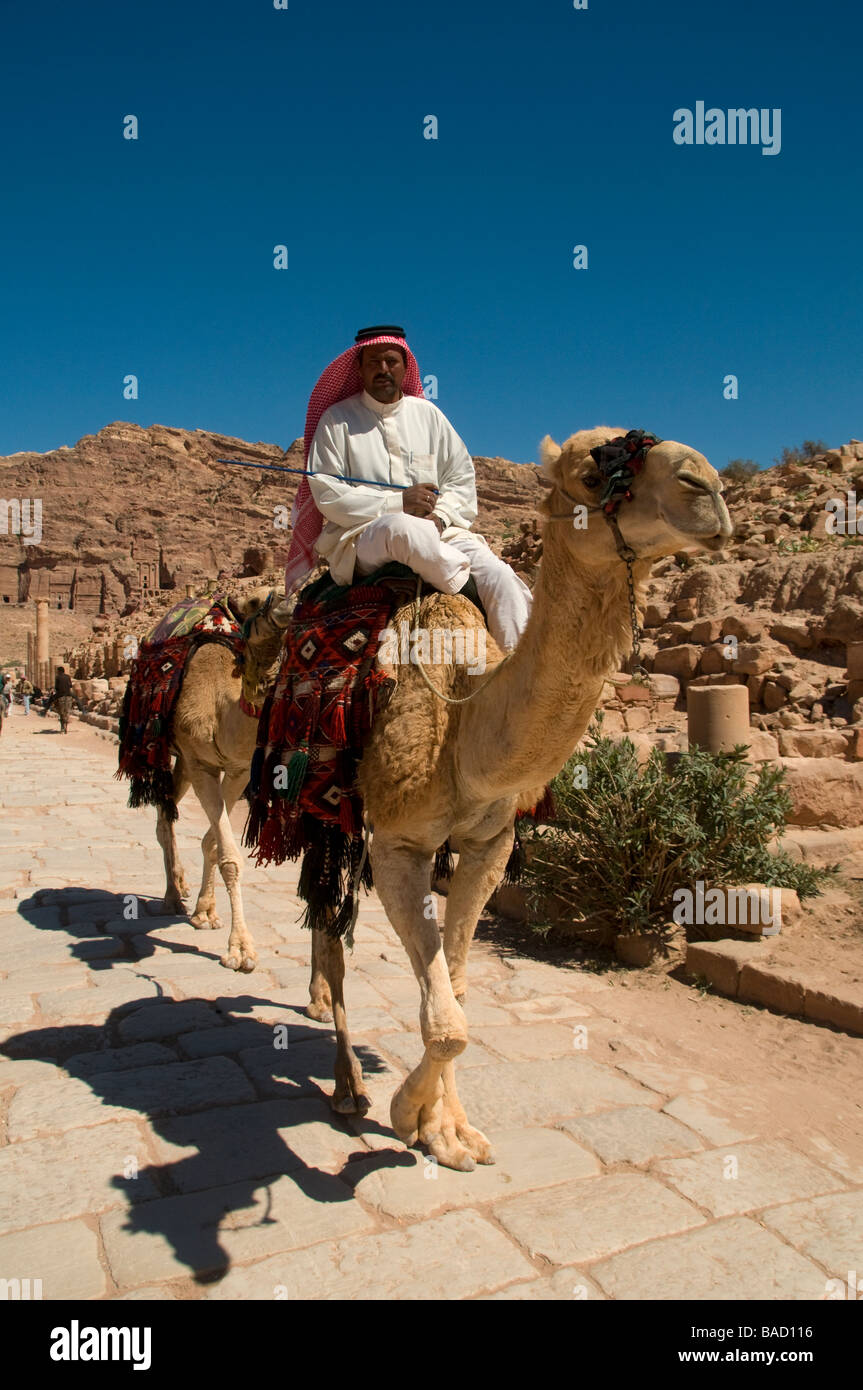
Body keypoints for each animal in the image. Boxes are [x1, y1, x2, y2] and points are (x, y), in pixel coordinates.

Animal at [154, 588, 290, 972]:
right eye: (255, 601)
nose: (289, 603)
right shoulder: (202, 765)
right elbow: (229, 855)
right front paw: (241, 950)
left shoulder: (238, 769)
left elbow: (213, 843)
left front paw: (206, 912)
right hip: (171, 753)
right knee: (163, 819)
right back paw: (172, 895)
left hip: (184, 764)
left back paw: (185, 892)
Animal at [304, 428, 733, 1168]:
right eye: (593, 470)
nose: (705, 485)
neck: (463, 724)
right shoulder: (397, 843)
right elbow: (445, 1020)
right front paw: (404, 1113)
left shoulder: (489, 842)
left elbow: (455, 989)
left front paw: (447, 1129)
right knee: (322, 925)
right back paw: (347, 1085)